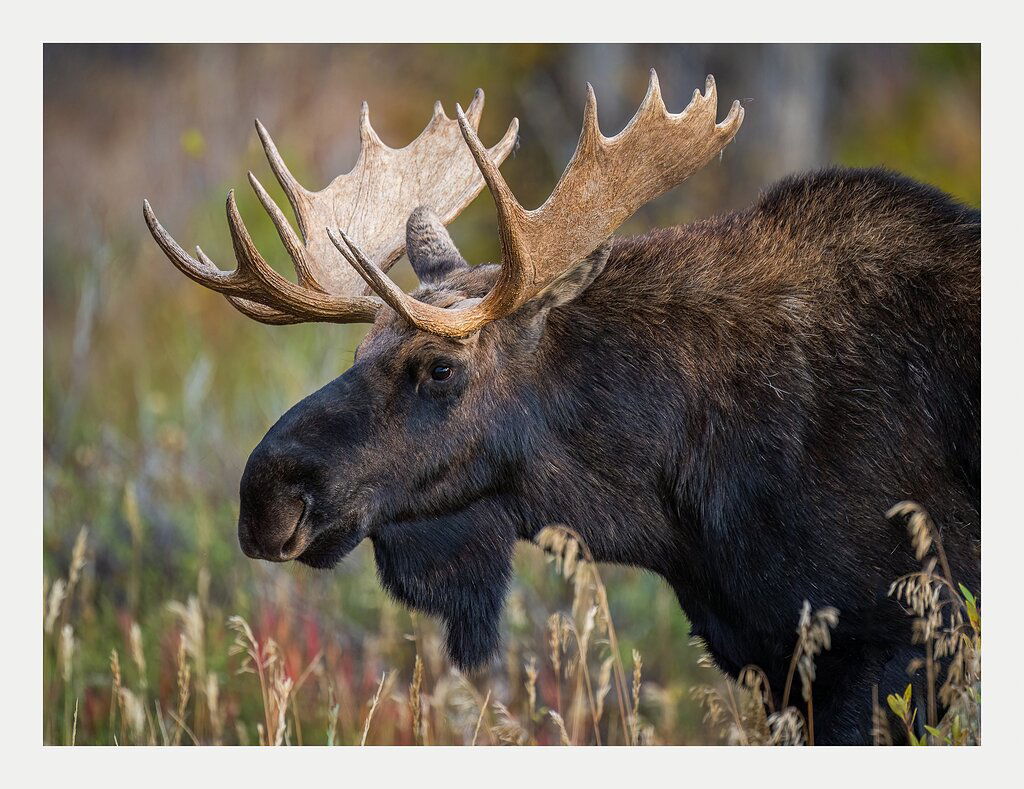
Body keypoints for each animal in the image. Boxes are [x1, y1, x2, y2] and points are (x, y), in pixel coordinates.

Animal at [143, 72, 980, 744]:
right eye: (355, 354)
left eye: (440, 367)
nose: (265, 495)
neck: (677, 502)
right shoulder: (777, 662)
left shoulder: (892, 650)